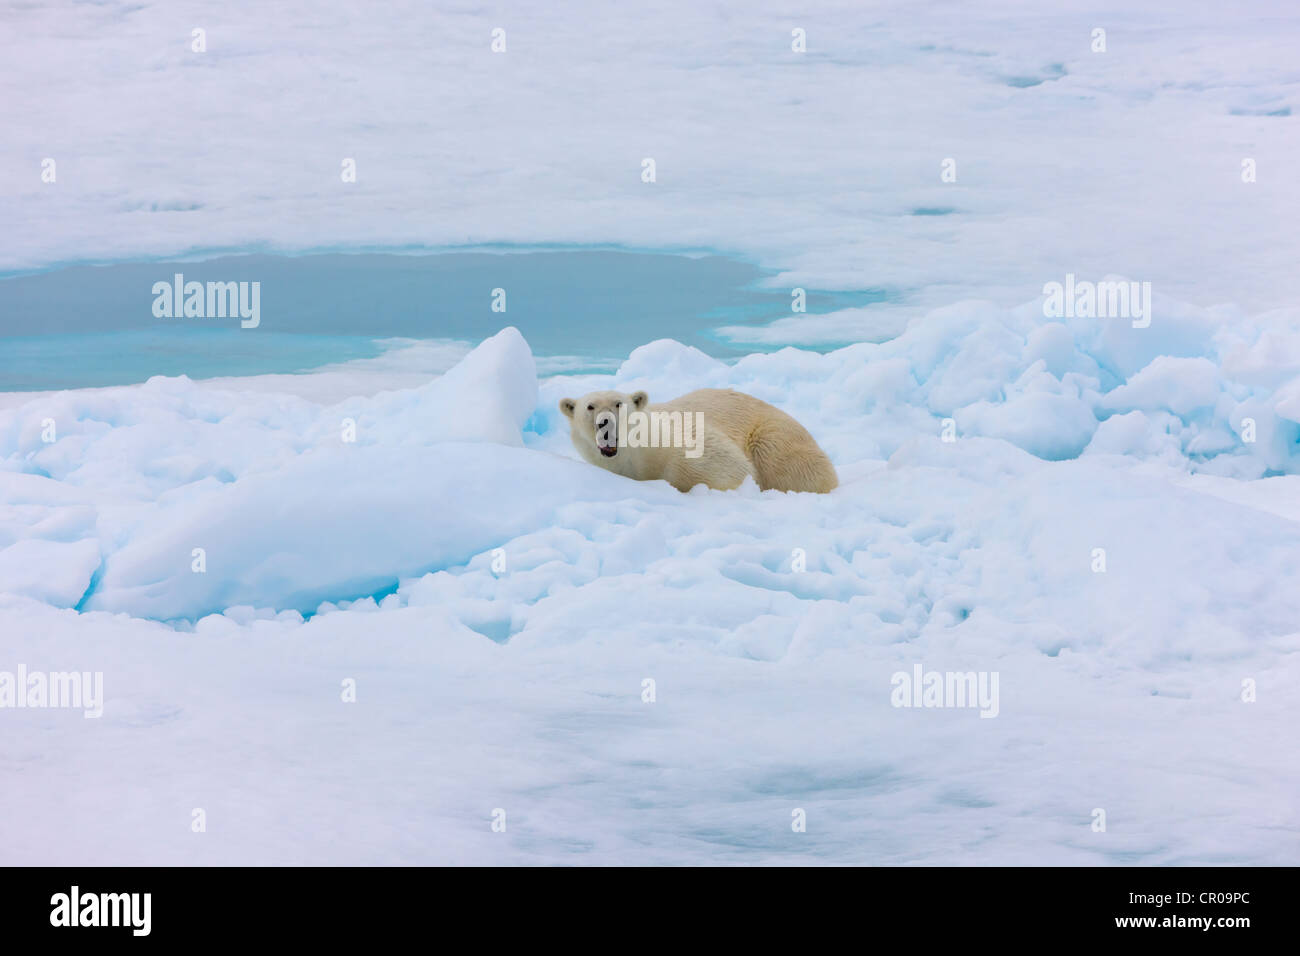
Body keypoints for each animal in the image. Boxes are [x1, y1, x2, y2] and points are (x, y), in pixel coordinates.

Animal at [559, 388, 838, 494]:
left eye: (619, 403)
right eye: (590, 406)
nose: (605, 422)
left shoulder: (684, 440)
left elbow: (732, 467)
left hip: (772, 433)